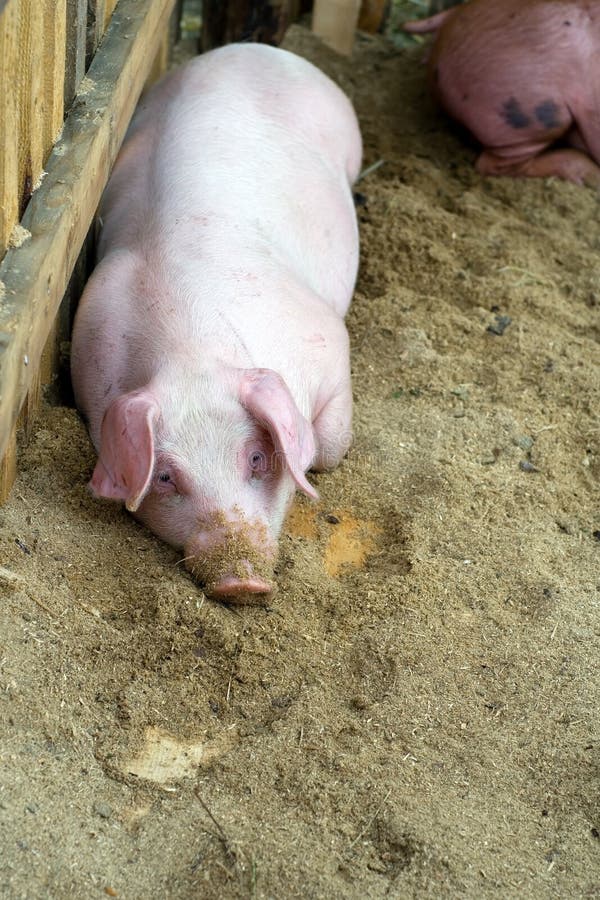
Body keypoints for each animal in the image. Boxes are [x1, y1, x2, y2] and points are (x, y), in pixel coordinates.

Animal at [70, 44, 362, 602]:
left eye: (257, 458)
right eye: (165, 477)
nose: (240, 582)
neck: (190, 349)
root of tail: (245, 48)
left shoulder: (330, 343)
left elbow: (328, 448)